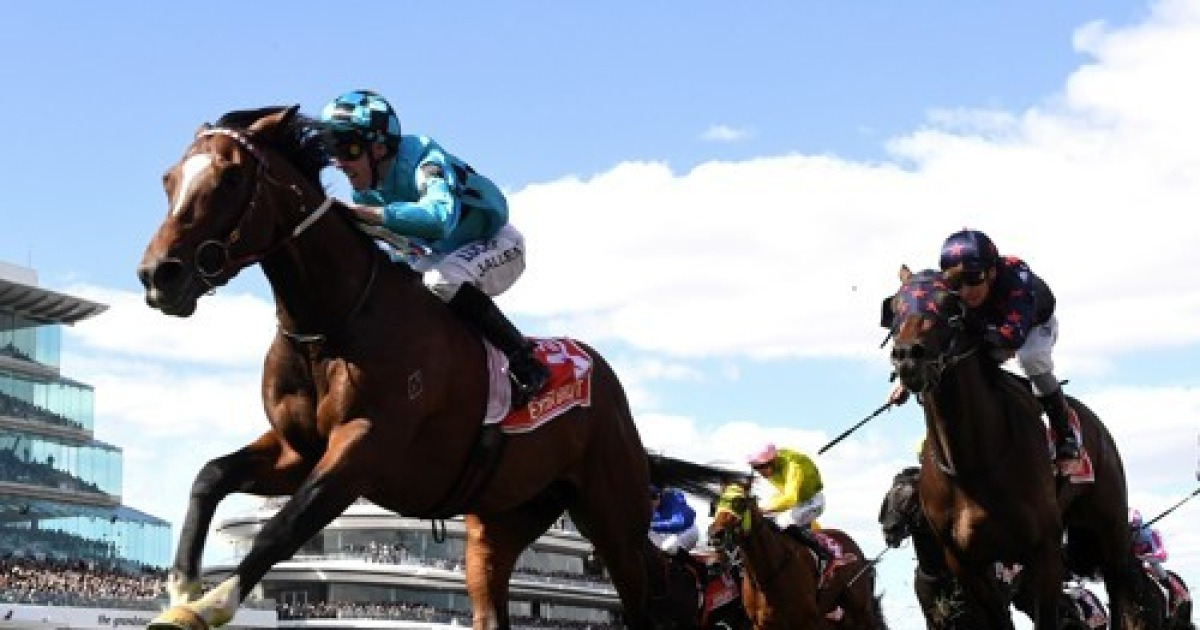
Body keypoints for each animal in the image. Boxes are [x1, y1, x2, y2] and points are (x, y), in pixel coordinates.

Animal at [134, 104, 718, 630]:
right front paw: (182, 587)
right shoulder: (299, 450)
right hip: (502, 523)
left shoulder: (365, 445)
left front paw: (208, 604)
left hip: (612, 516)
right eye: (168, 179)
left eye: (231, 177)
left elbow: (284, 527)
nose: (159, 275)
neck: (335, 321)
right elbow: (211, 476)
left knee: (647, 602)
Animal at [707, 482, 887, 630]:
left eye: (740, 503)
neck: (766, 577)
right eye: (714, 506)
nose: (715, 534)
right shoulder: (761, 624)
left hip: (861, 608)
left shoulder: (807, 621)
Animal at [884, 266, 1149, 629]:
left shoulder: (1045, 550)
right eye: (895, 307)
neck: (970, 464)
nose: (908, 356)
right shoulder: (968, 565)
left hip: (1110, 530)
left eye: (951, 304)